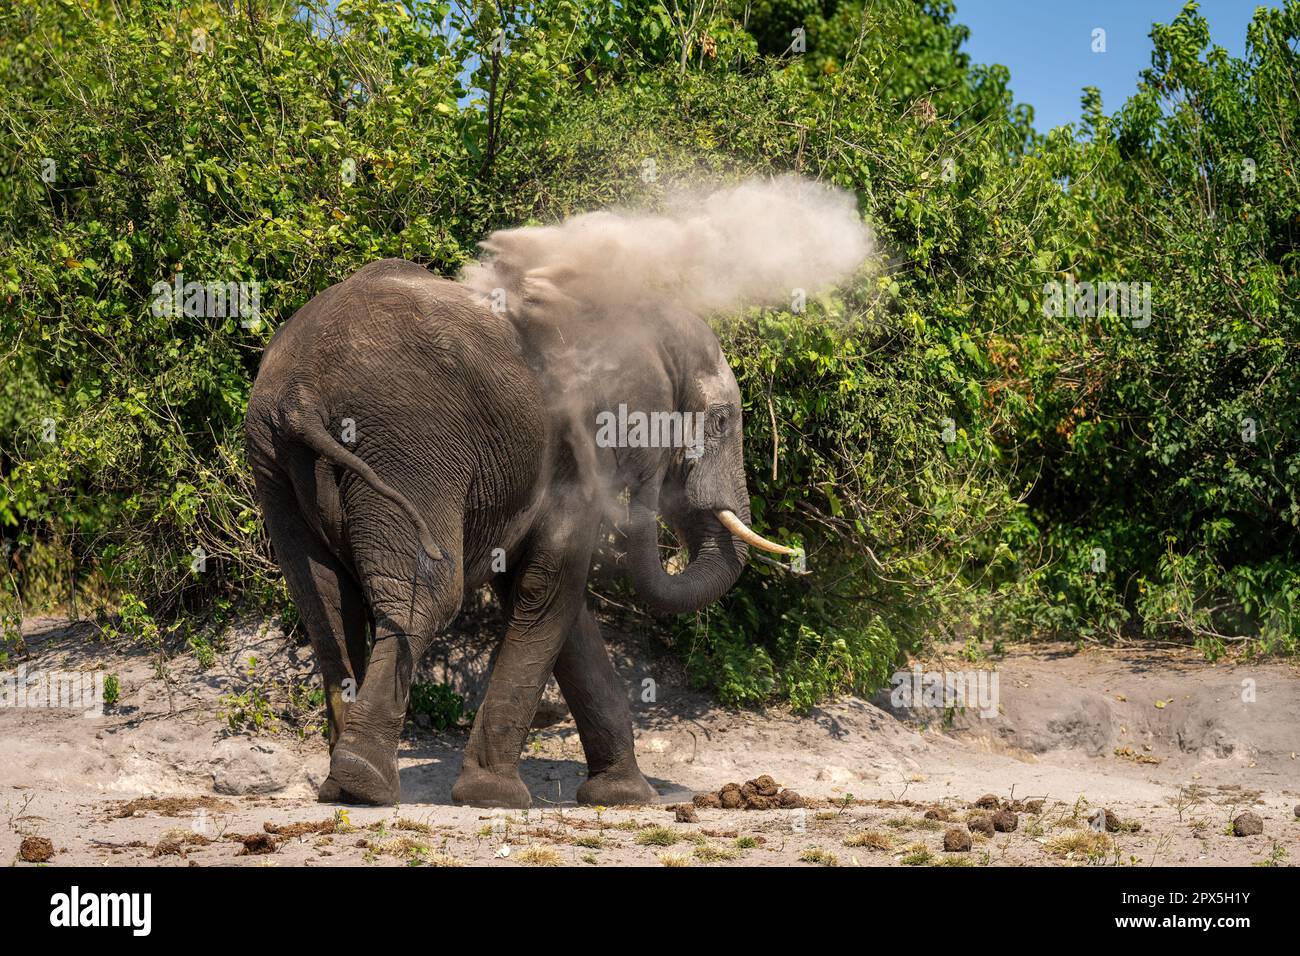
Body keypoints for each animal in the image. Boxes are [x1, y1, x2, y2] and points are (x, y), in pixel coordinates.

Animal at [244, 256, 796, 808]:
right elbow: (550, 588)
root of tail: (301, 391)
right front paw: (494, 796)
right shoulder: (574, 447)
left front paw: (622, 797)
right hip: (407, 442)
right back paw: (365, 784)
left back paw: (338, 785)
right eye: (720, 421)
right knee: (430, 595)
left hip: (274, 461)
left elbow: (551, 604)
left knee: (324, 602)